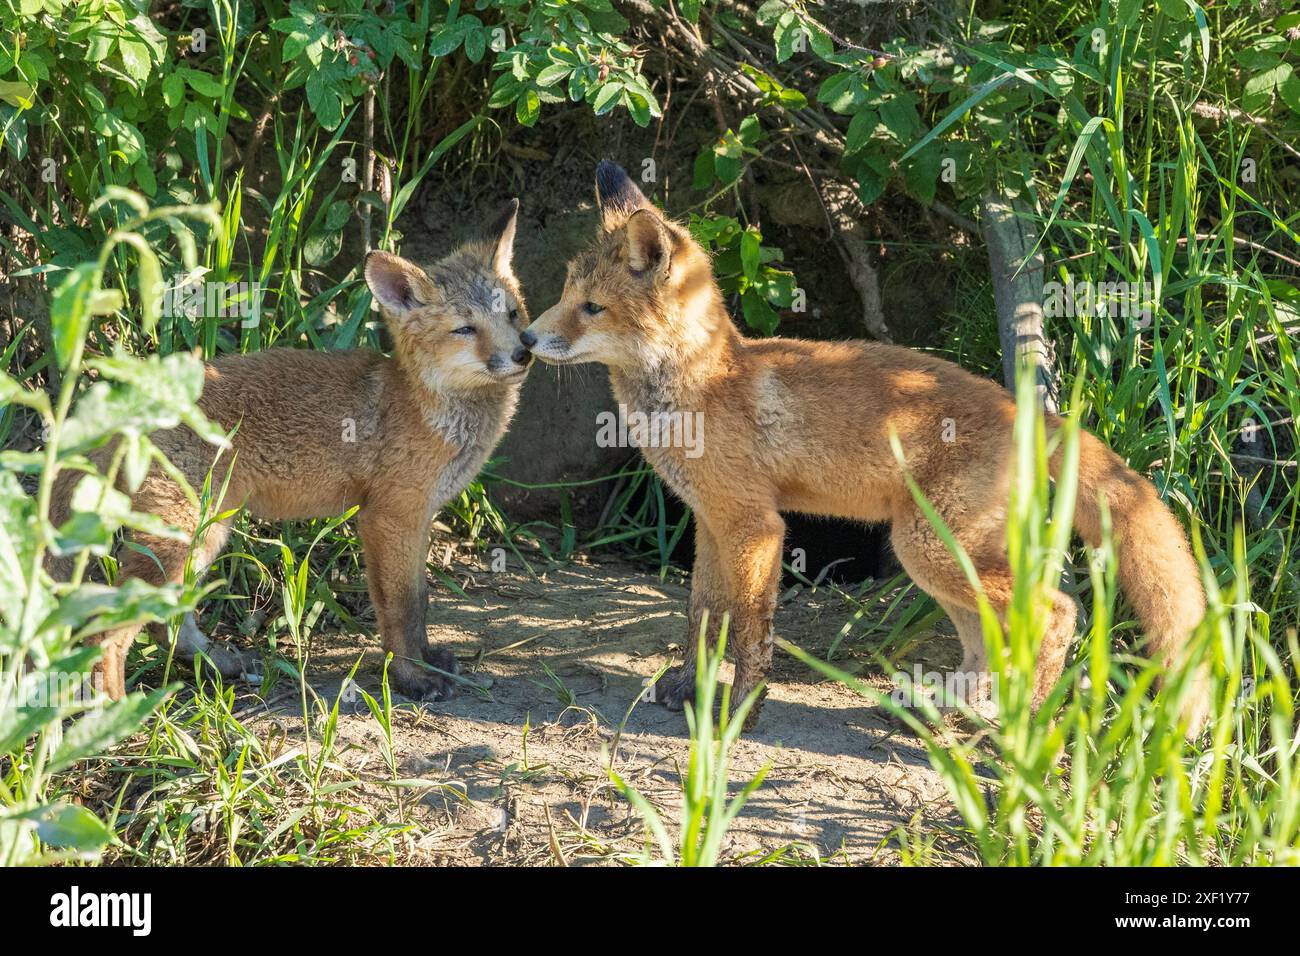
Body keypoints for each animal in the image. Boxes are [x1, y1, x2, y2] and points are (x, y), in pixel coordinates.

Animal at [50, 200, 532, 703]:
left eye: (514, 314)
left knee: (167, 624)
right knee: (111, 629)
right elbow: (401, 610)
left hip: (204, 533)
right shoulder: (389, 517)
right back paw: (115, 708)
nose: (524, 353)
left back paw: (217, 664)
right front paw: (411, 677)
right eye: (466, 329)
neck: (425, 405)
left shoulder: (415, 519)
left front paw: (425, 661)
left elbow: (419, 603)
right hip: (186, 535)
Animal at [521, 161, 1212, 736]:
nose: (525, 339)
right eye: (566, 294)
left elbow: (749, 632)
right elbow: (701, 619)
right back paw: (949, 709)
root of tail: (1023, 408)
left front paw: (742, 709)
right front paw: (687, 689)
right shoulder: (710, 523)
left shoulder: (755, 527)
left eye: (592, 308)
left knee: (1058, 612)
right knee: (985, 639)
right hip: (934, 556)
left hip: (930, 548)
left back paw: (1025, 724)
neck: (703, 384)